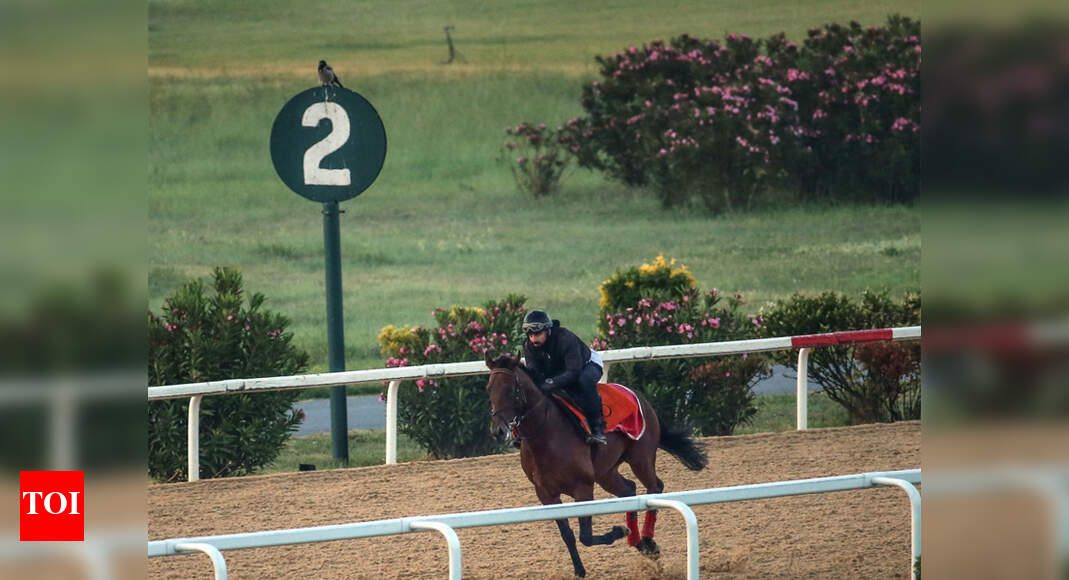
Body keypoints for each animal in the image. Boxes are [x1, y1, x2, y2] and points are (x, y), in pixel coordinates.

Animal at [483, 352, 708, 578]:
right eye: (489, 388)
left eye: (513, 389)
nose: (498, 431)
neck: (546, 435)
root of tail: (639, 396)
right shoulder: (546, 494)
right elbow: (567, 534)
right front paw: (580, 570)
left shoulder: (582, 488)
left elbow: (586, 536)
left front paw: (618, 531)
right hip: (605, 473)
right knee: (629, 490)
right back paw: (638, 542)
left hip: (640, 458)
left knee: (654, 487)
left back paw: (647, 541)